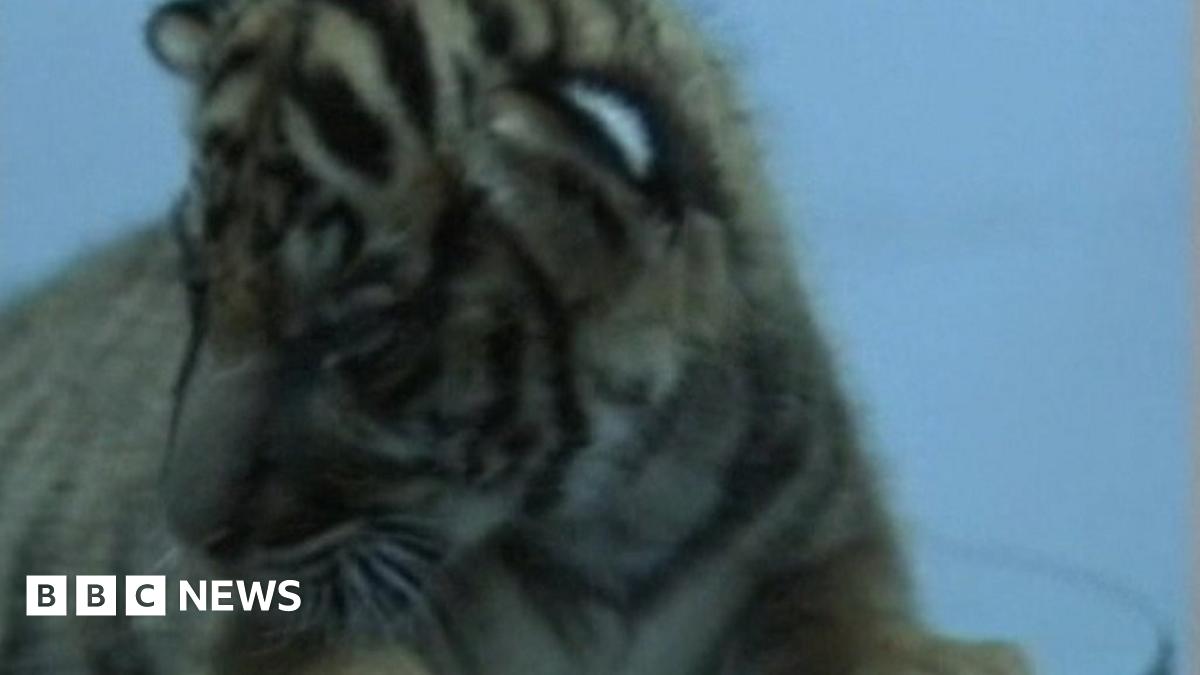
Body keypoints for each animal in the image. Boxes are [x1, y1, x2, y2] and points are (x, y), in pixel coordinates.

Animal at [0, 0, 1035, 673]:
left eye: (361, 330)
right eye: (199, 287)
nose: (192, 539)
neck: (613, 524)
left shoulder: (825, 553)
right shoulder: (274, 628)